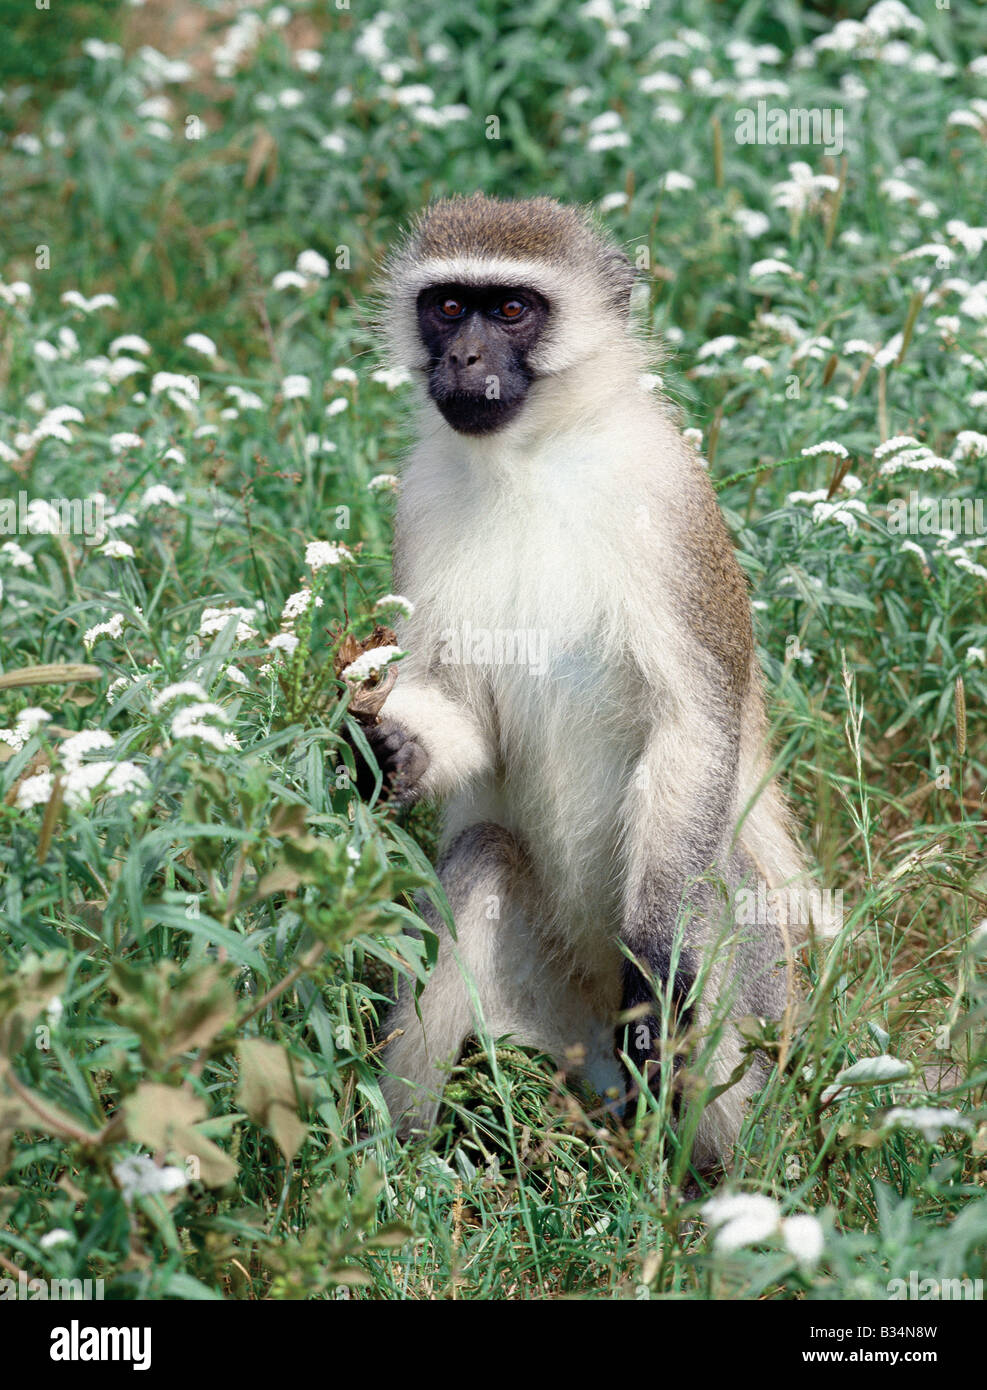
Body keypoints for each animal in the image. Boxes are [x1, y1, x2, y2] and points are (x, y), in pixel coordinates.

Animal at [354, 193, 808, 1169]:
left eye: (512, 309)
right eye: (448, 306)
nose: (463, 360)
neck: (530, 460)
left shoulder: (668, 495)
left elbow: (694, 722)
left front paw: (660, 956)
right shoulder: (417, 499)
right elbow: (461, 711)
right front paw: (389, 748)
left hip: (765, 1001)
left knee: (711, 892)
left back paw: (728, 1186)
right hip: (549, 1013)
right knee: (480, 859)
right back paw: (400, 1168)